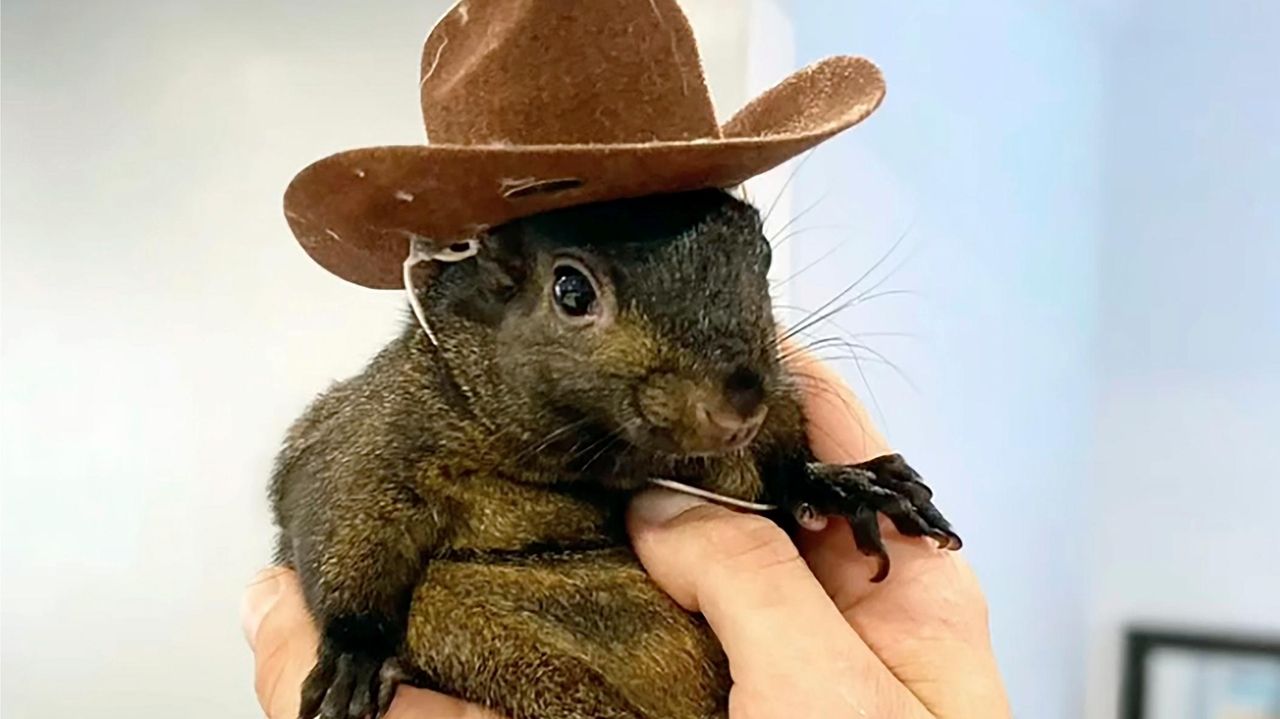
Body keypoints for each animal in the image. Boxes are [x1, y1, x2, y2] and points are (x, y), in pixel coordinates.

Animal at [269, 188, 961, 719]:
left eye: (761, 255)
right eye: (571, 291)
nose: (740, 403)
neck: (600, 459)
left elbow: (782, 469)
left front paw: (843, 483)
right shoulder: (378, 431)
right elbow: (340, 515)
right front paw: (354, 656)